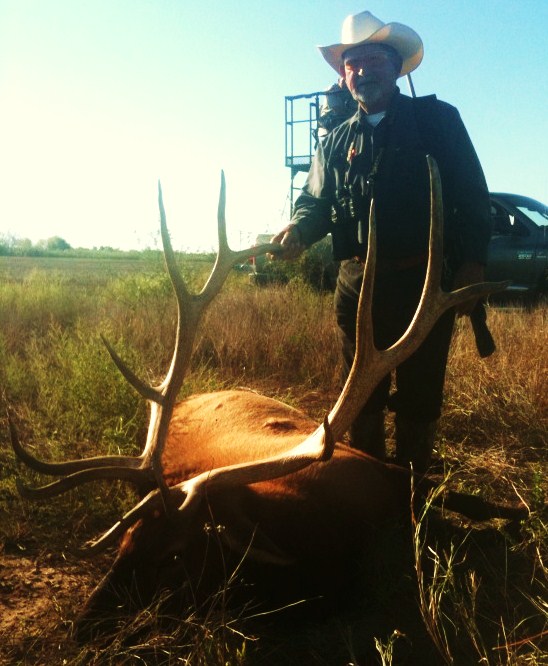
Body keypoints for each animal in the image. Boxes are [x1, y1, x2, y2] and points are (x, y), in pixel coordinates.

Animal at [9, 157, 525, 640]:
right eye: (124, 541)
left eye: (173, 556)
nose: (81, 626)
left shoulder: (390, 472)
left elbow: (473, 500)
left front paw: (517, 516)